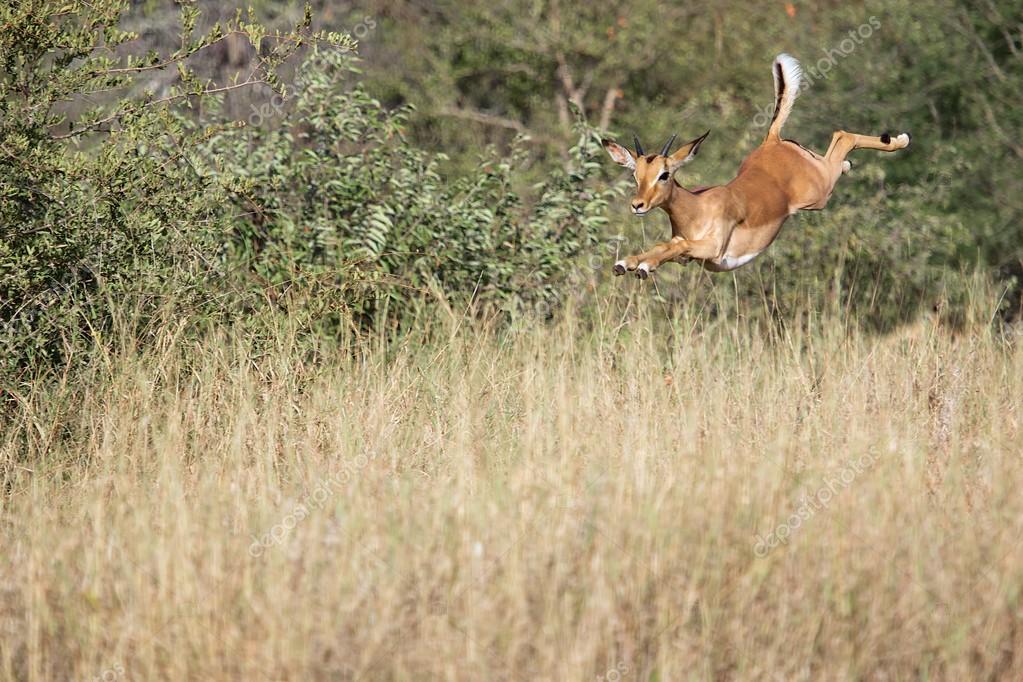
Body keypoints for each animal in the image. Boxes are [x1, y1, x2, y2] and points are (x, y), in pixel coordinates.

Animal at [602, 53, 911, 278]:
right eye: (635, 175)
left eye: (664, 174)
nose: (638, 204)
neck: (697, 209)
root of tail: (772, 140)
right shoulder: (685, 254)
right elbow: (664, 246)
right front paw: (627, 263)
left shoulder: (713, 249)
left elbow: (671, 246)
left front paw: (640, 267)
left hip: (820, 194)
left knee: (843, 136)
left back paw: (900, 140)